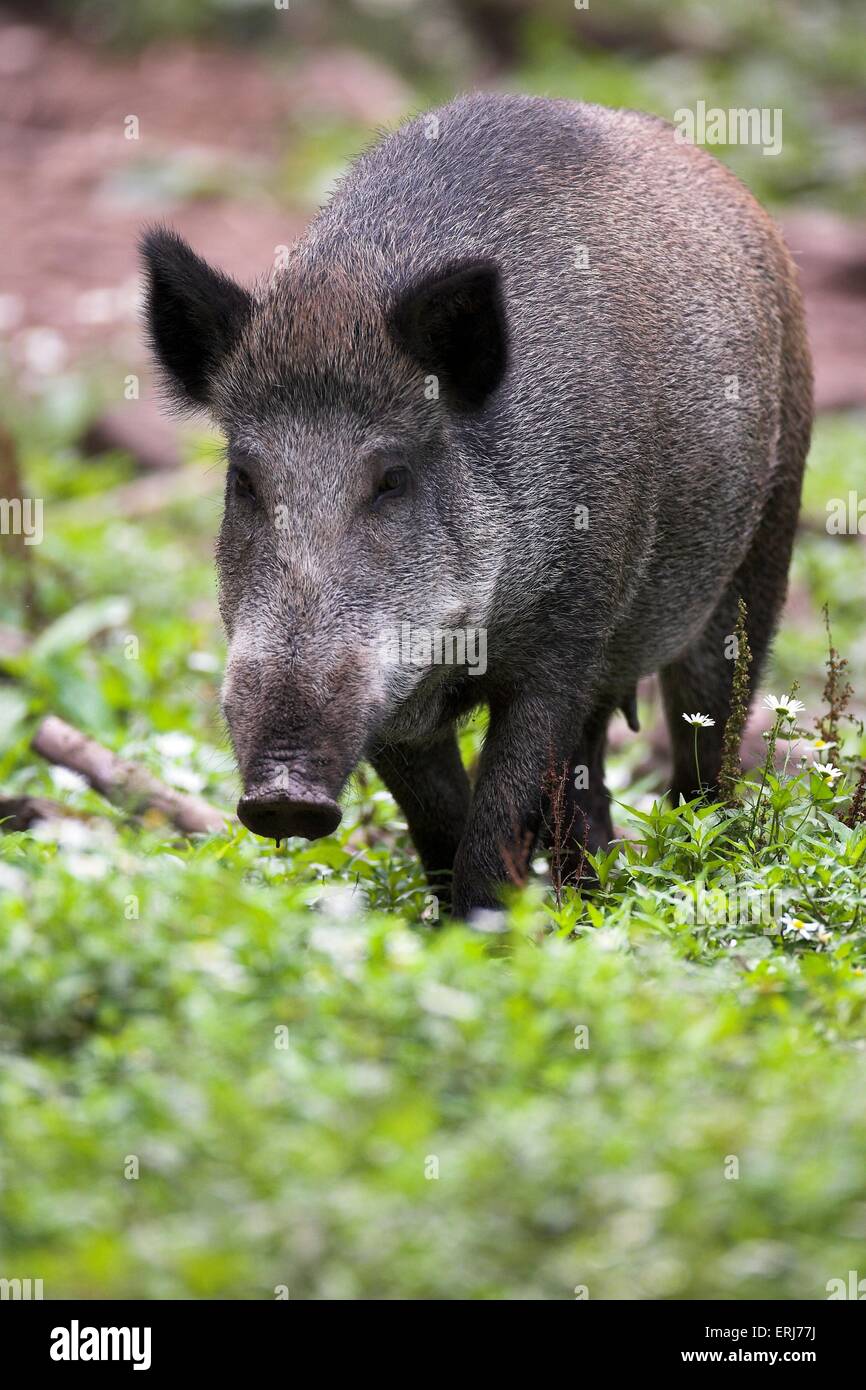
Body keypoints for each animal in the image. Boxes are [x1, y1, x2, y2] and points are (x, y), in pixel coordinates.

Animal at [141, 93, 813, 917]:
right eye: (243, 477)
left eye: (392, 477)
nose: (282, 797)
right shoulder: (390, 702)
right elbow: (441, 822)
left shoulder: (567, 638)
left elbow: (496, 817)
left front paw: (490, 926)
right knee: (589, 790)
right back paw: (591, 900)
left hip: (767, 534)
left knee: (706, 749)